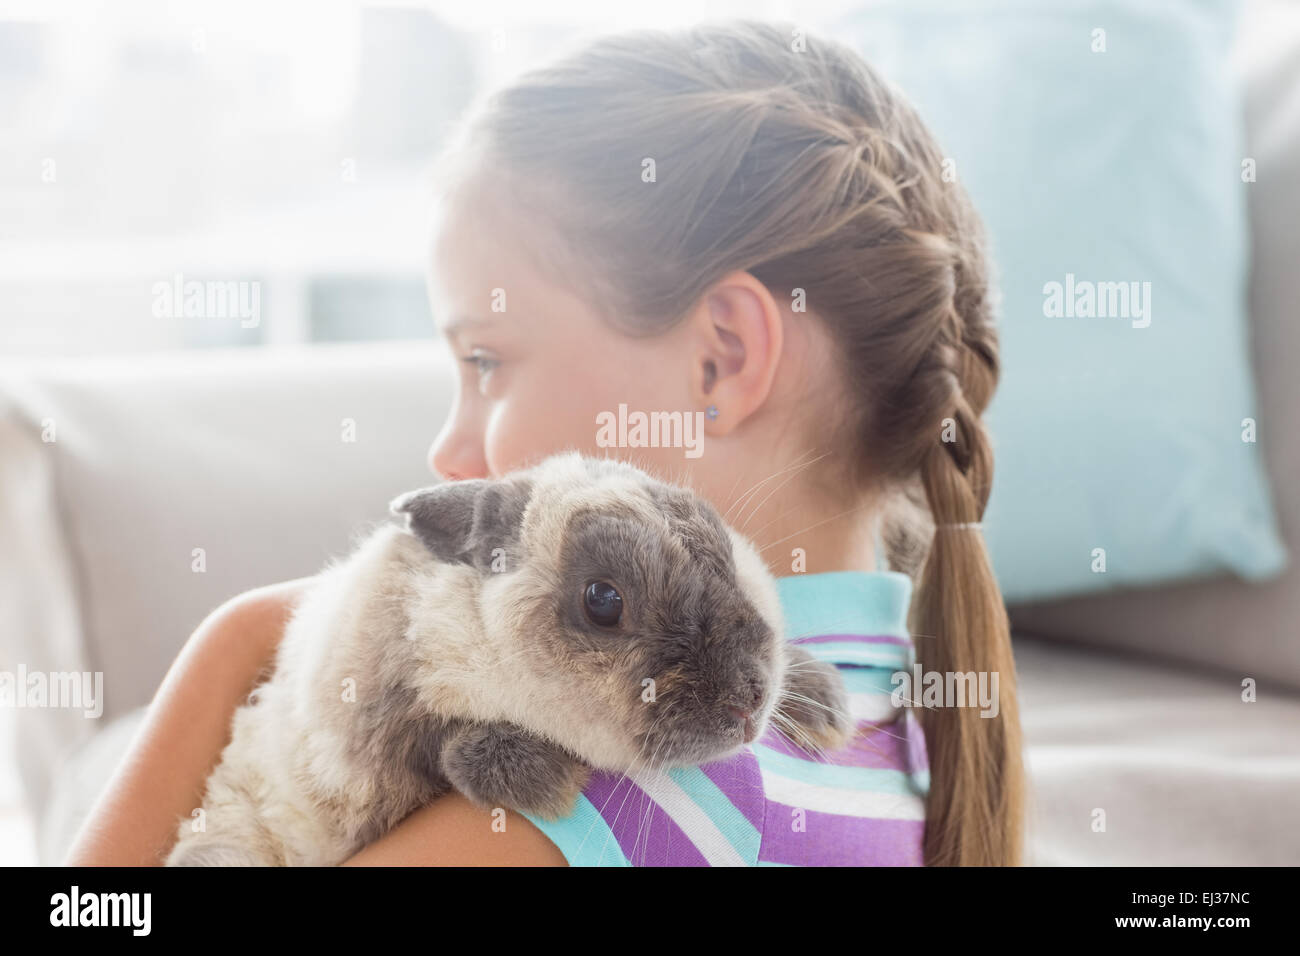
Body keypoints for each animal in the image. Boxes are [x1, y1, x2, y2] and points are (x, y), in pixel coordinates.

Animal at [166, 451, 854, 866]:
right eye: (603, 601)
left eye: (724, 550)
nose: (751, 699)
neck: (473, 627)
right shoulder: (377, 736)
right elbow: (440, 746)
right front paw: (547, 781)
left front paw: (824, 701)